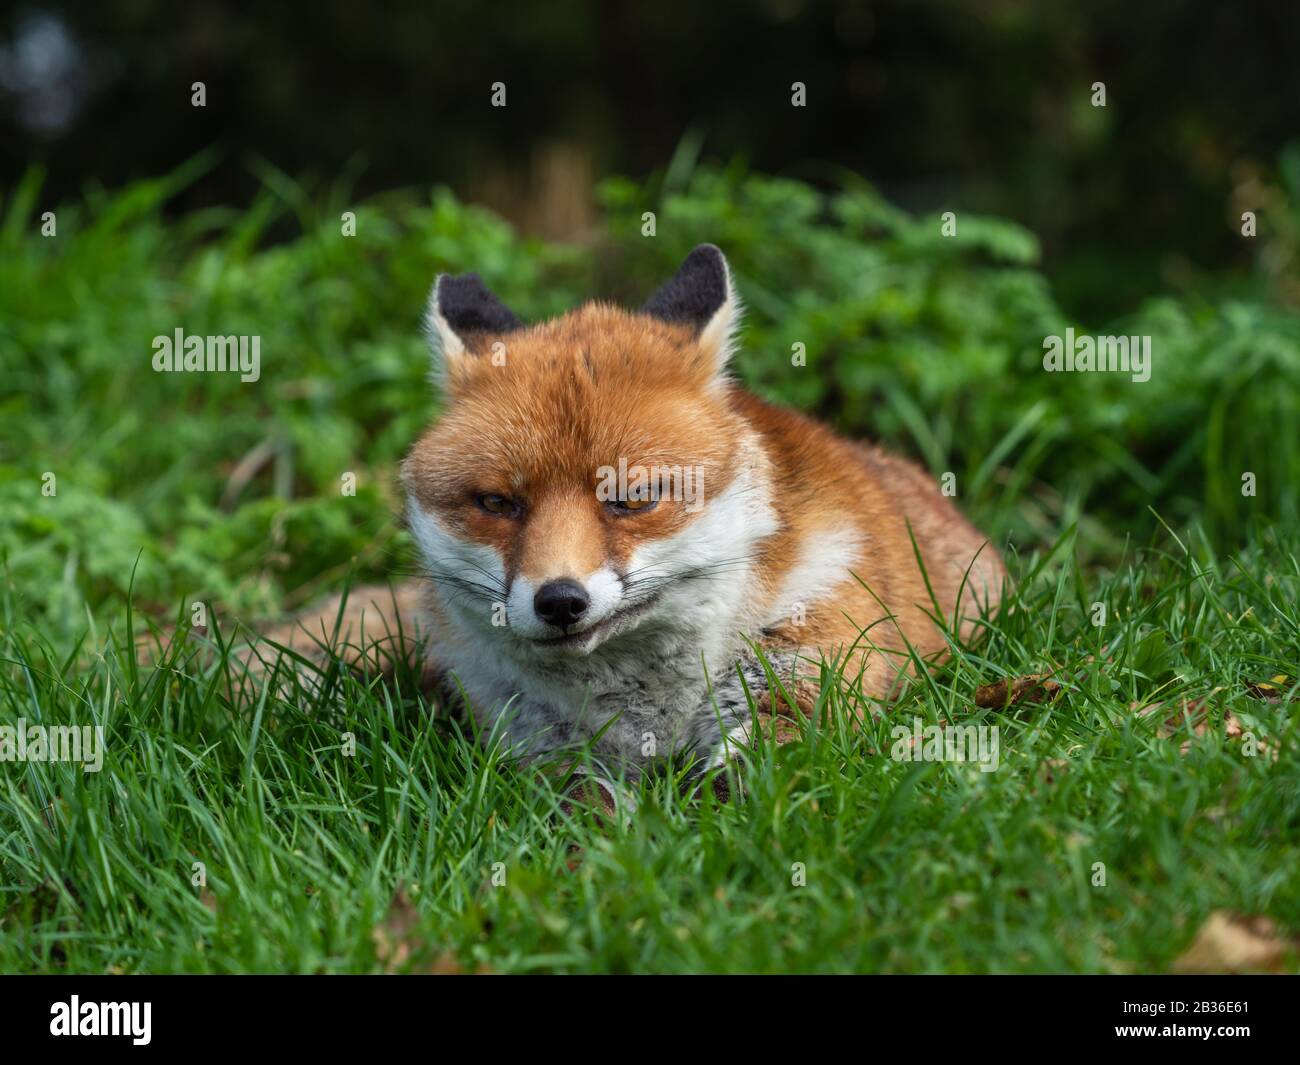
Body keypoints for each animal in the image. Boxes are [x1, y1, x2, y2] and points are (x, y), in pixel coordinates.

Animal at [253, 245, 1005, 799]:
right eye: (498, 504)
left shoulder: (804, 681)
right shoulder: (537, 749)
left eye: (633, 497)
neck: (644, 714)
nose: (559, 600)